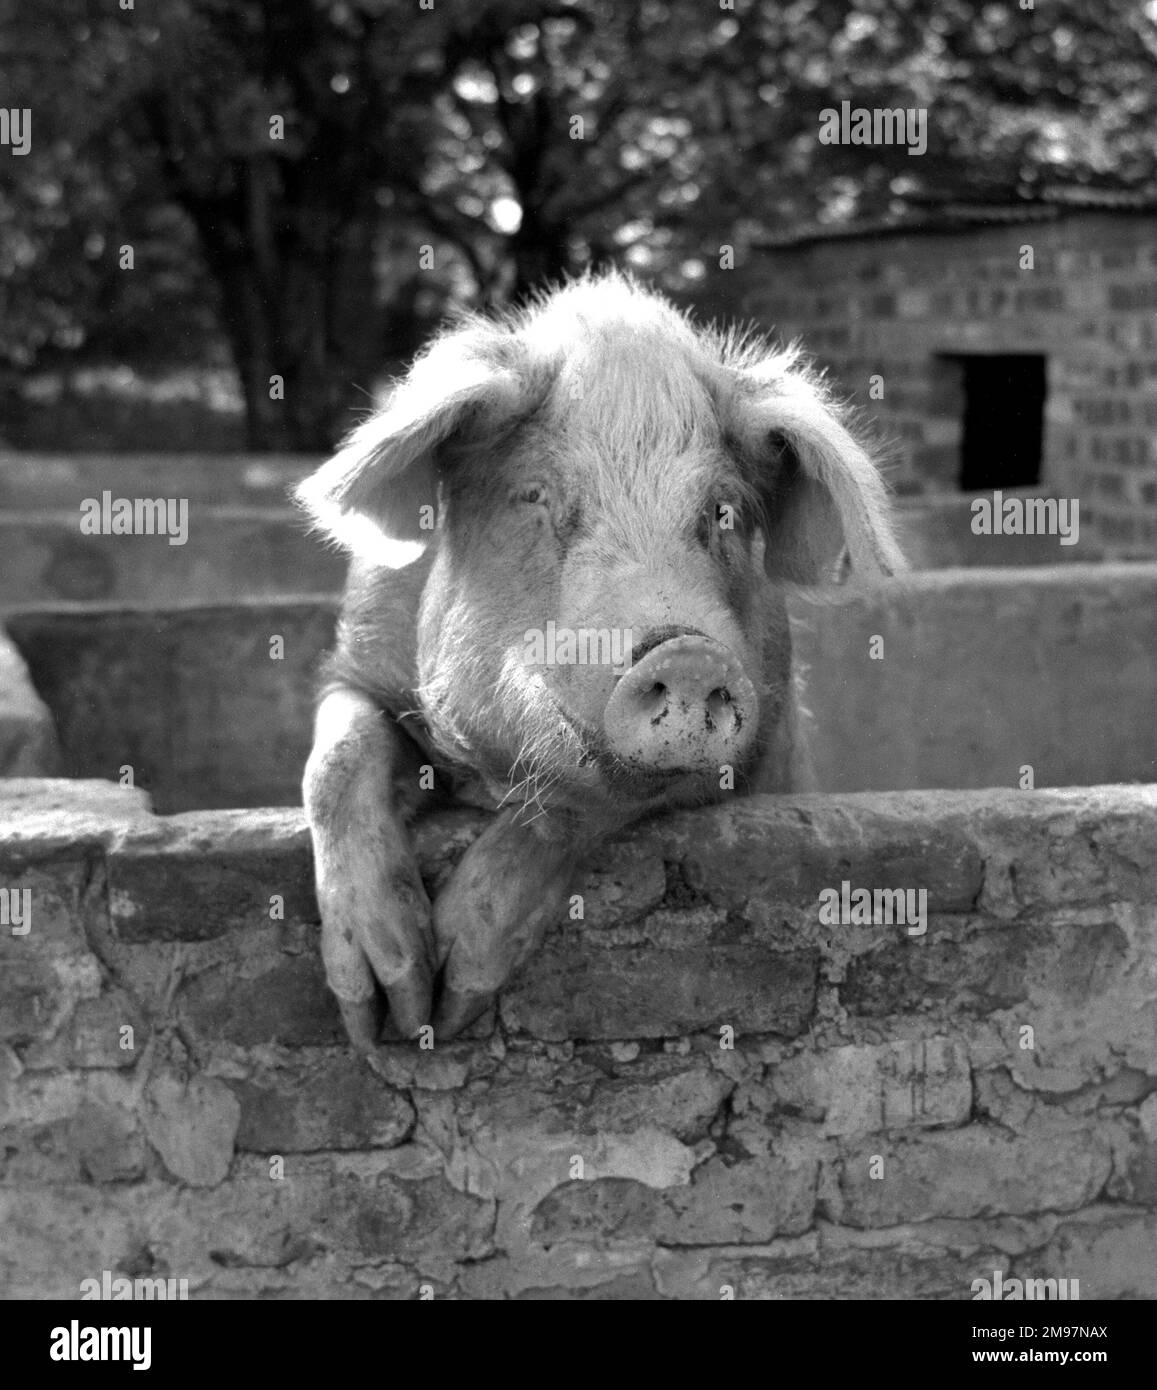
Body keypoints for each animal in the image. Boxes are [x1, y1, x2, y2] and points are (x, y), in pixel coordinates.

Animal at [296, 271, 904, 1049]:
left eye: (724, 512)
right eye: (534, 494)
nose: (690, 653)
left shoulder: (759, 748)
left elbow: (571, 804)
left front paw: (452, 994)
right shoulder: (356, 662)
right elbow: (338, 760)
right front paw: (386, 1012)